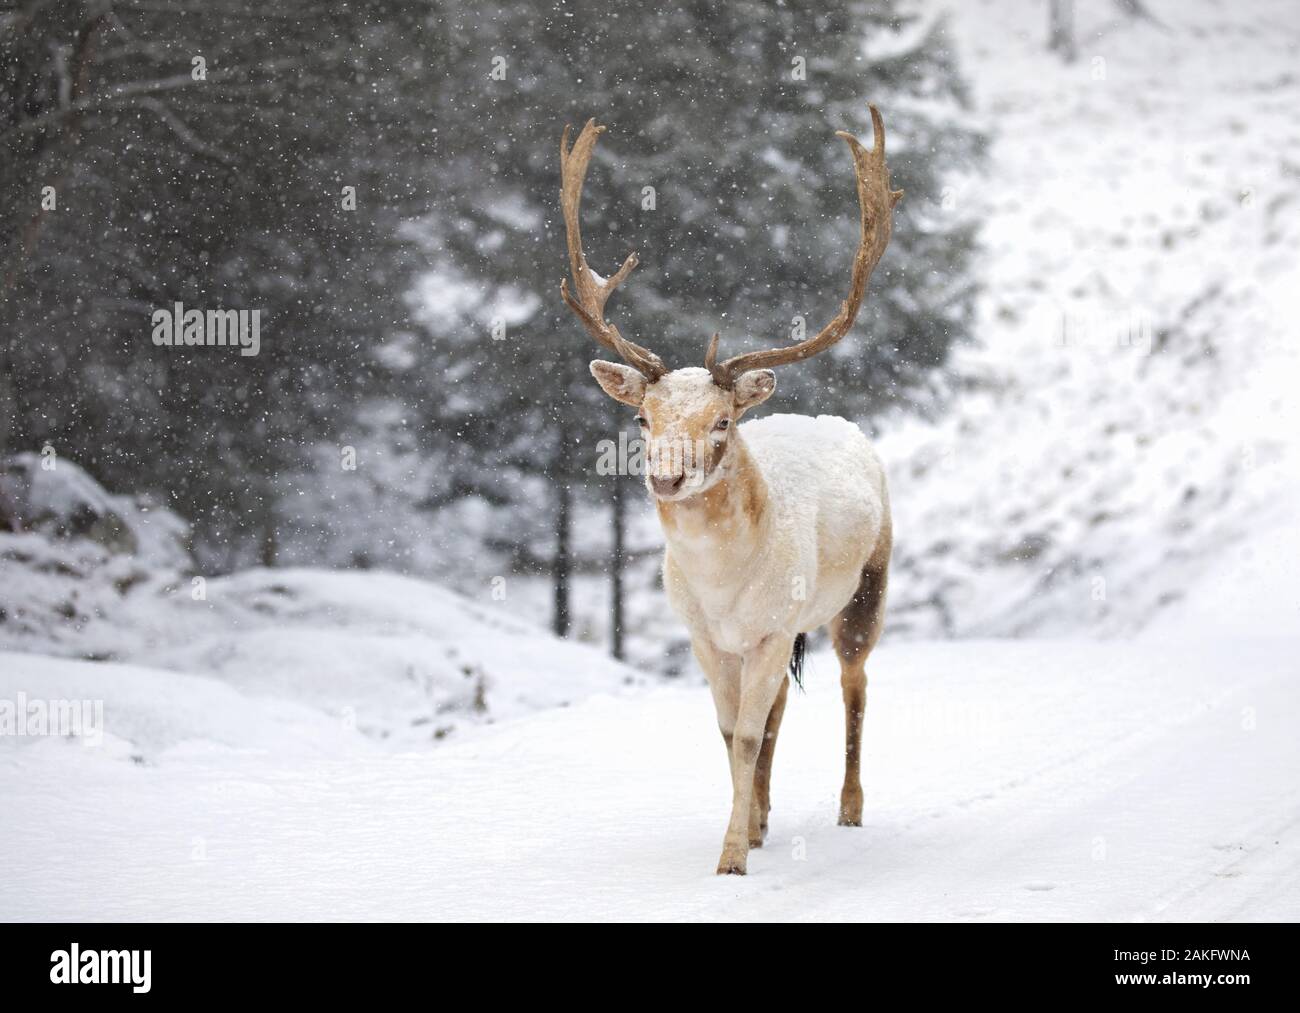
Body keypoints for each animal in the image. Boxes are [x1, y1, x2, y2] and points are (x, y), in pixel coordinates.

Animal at [560, 104, 901, 875]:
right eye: (643, 415)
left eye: (721, 420)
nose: (666, 474)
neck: (722, 587)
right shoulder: (706, 636)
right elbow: (730, 731)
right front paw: (747, 831)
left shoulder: (774, 624)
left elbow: (745, 735)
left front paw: (730, 859)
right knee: (777, 709)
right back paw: (769, 816)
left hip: (867, 582)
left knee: (854, 683)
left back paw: (851, 806)